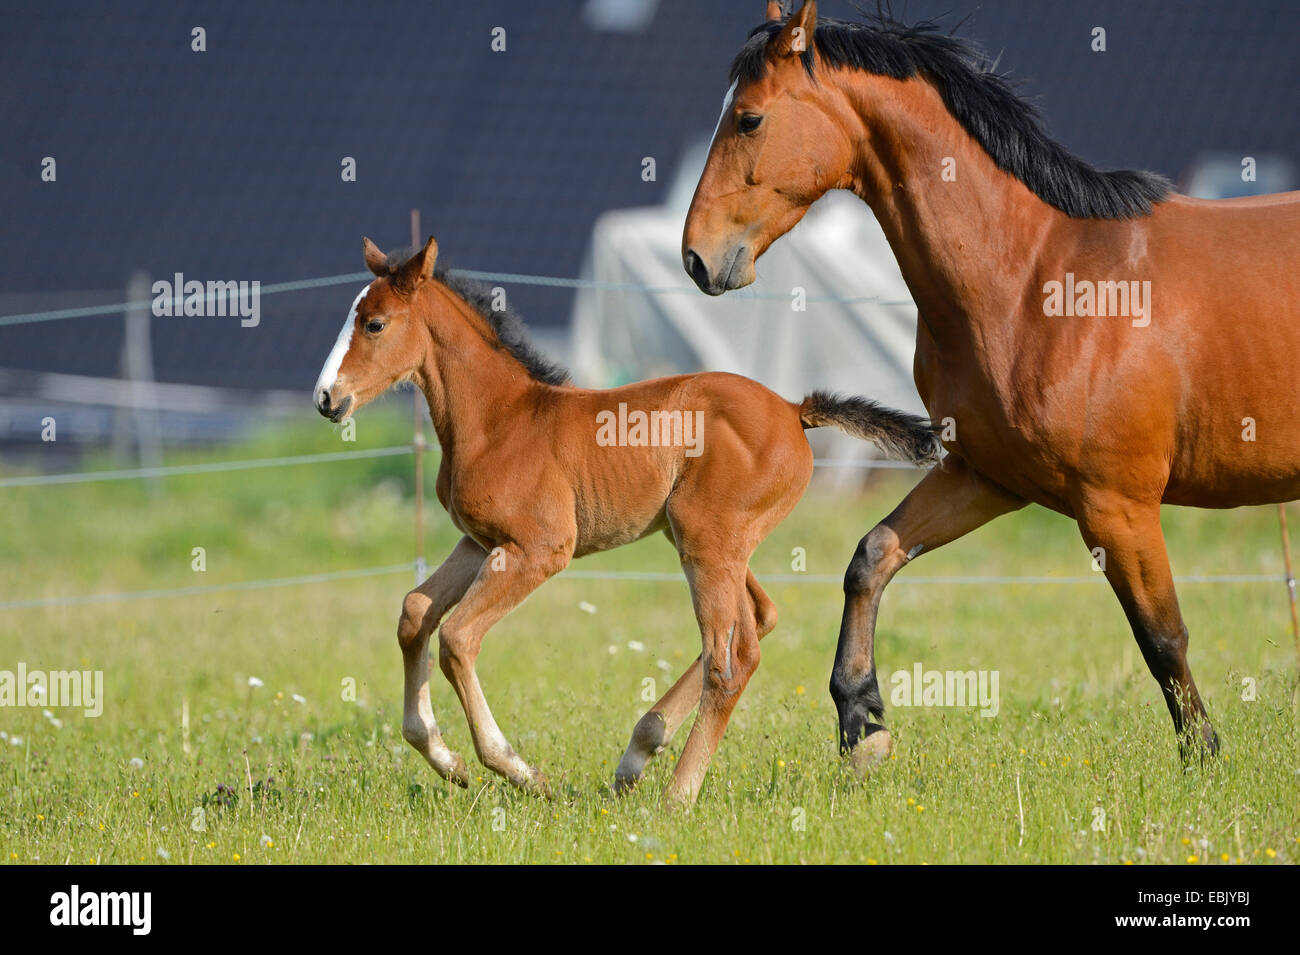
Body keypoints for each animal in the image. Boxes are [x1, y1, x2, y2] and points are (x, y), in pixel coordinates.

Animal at [313, 235, 940, 806]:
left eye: (374, 324)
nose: (325, 399)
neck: (498, 420)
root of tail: (793, 410)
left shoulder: (540, 549)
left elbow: (458, 637)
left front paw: (519, 772)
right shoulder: (479, 542)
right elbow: (415, 613)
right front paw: (445, 760)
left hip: (706, 541)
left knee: (731, 658)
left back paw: (678, 795)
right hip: (714, 542)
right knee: (759, 620)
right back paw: (638, 754)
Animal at [681, 1, 1300, 768]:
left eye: (749, 119)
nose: (697, 258)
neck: (1038, 275)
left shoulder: (1119, 508)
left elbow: (1162, 637)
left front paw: (1204, 759)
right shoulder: (986, 477)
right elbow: (872, 557)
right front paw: (861, 719)